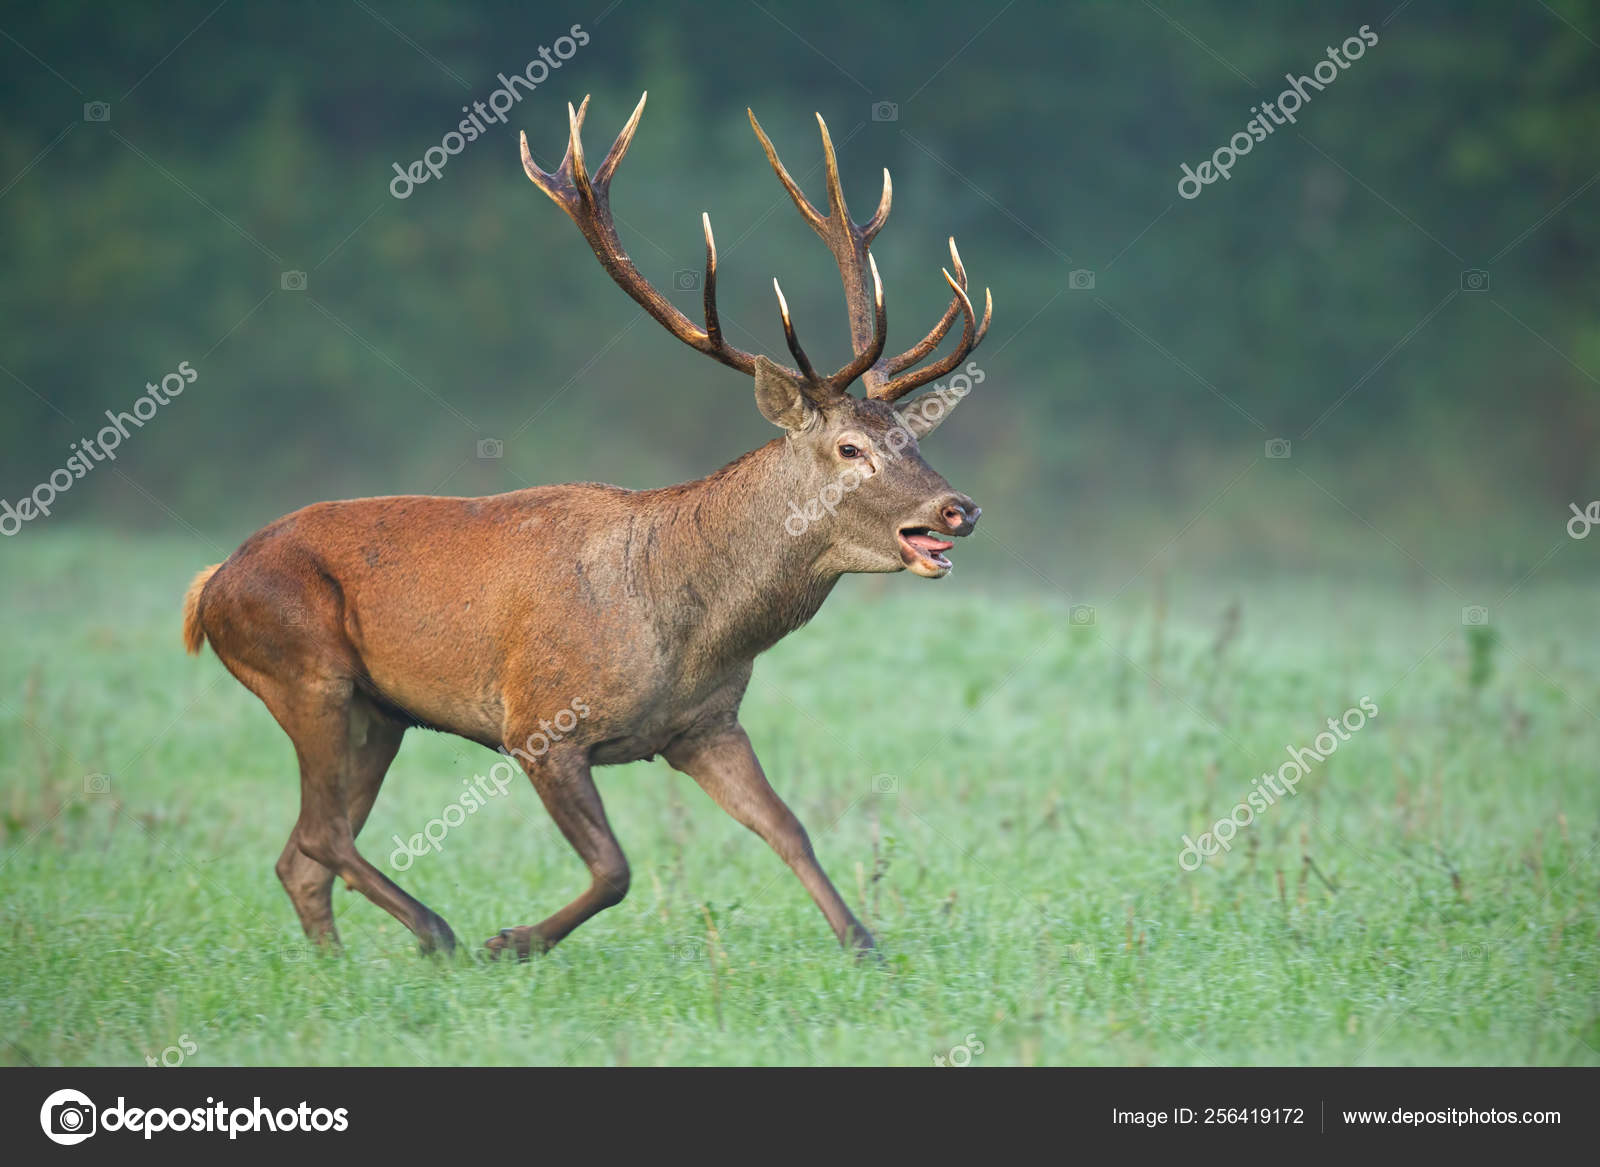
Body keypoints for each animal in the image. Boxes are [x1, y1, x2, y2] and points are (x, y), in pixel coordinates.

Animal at [181, 93, 991, 959]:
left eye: (913, 437)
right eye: (849, 447)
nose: (958, 507)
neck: (690, 628)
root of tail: (209, 587)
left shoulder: (706, 725)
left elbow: (789, 830)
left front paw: (865, 944)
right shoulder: (539, 722)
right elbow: (616, 869)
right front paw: (513, 939)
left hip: (378, 712)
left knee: (300, 855)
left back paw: (343, 962)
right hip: (302, 666)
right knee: (321, 833)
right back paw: (438, 931)